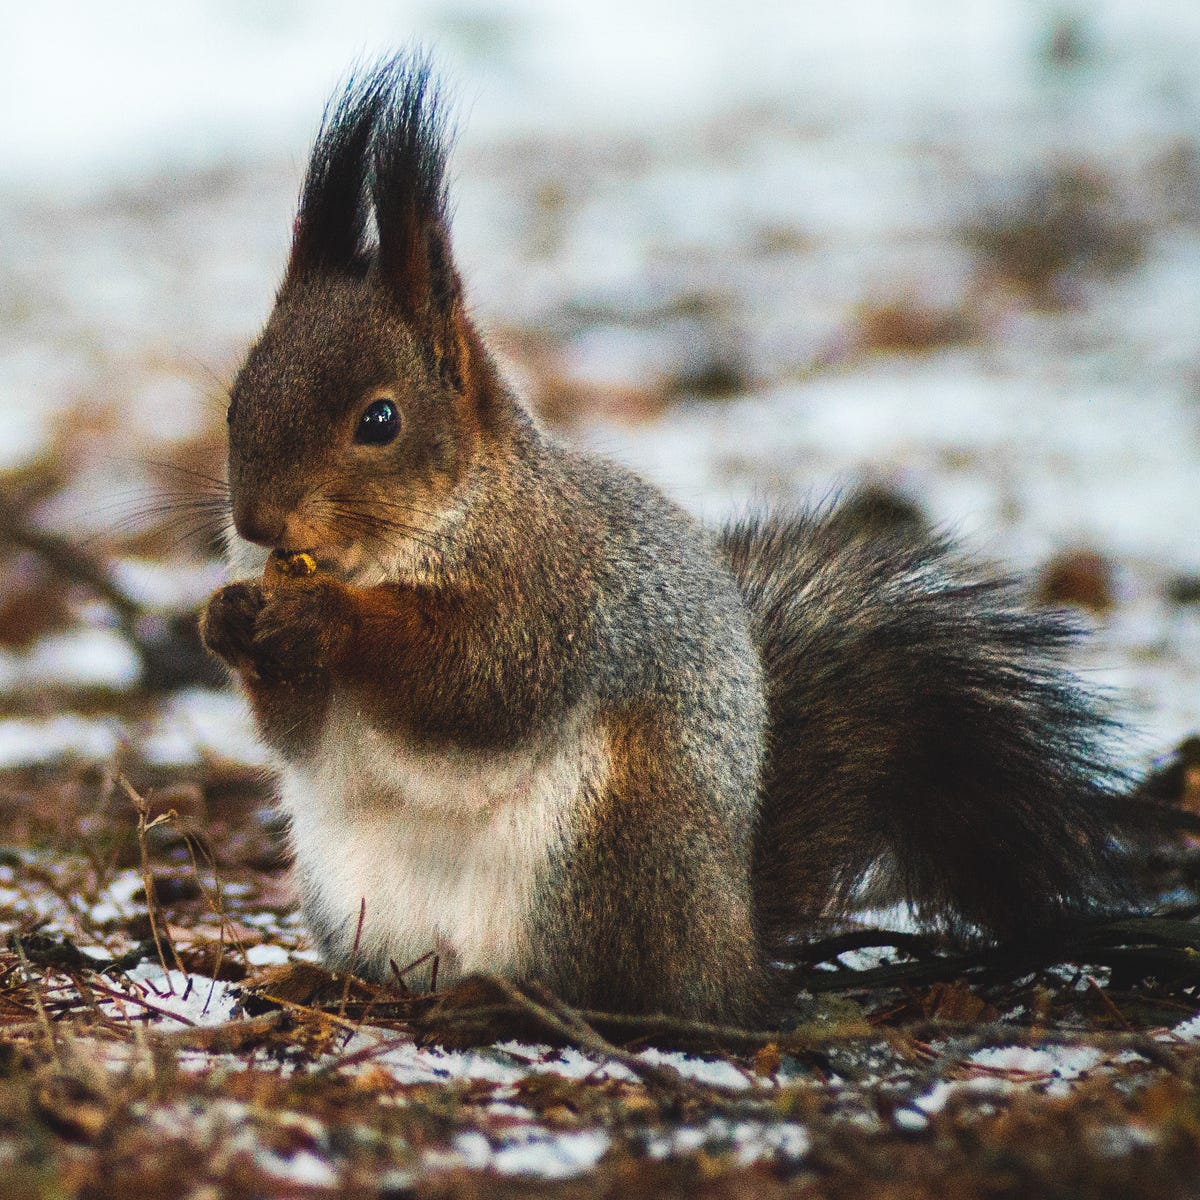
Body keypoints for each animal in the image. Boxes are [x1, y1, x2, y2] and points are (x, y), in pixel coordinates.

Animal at [199, 54, 1132, 1023]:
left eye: (379, 420)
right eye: (235, 403)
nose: (257, 524)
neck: (416, 538)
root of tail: (730, 945)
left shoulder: (552, 591)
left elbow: (477, 677)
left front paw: (328, 617)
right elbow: (297, 734)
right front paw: (224, 618)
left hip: (608, 847)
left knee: (607, 986)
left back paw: (500, 996)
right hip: (354, 888)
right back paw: (322, 979)